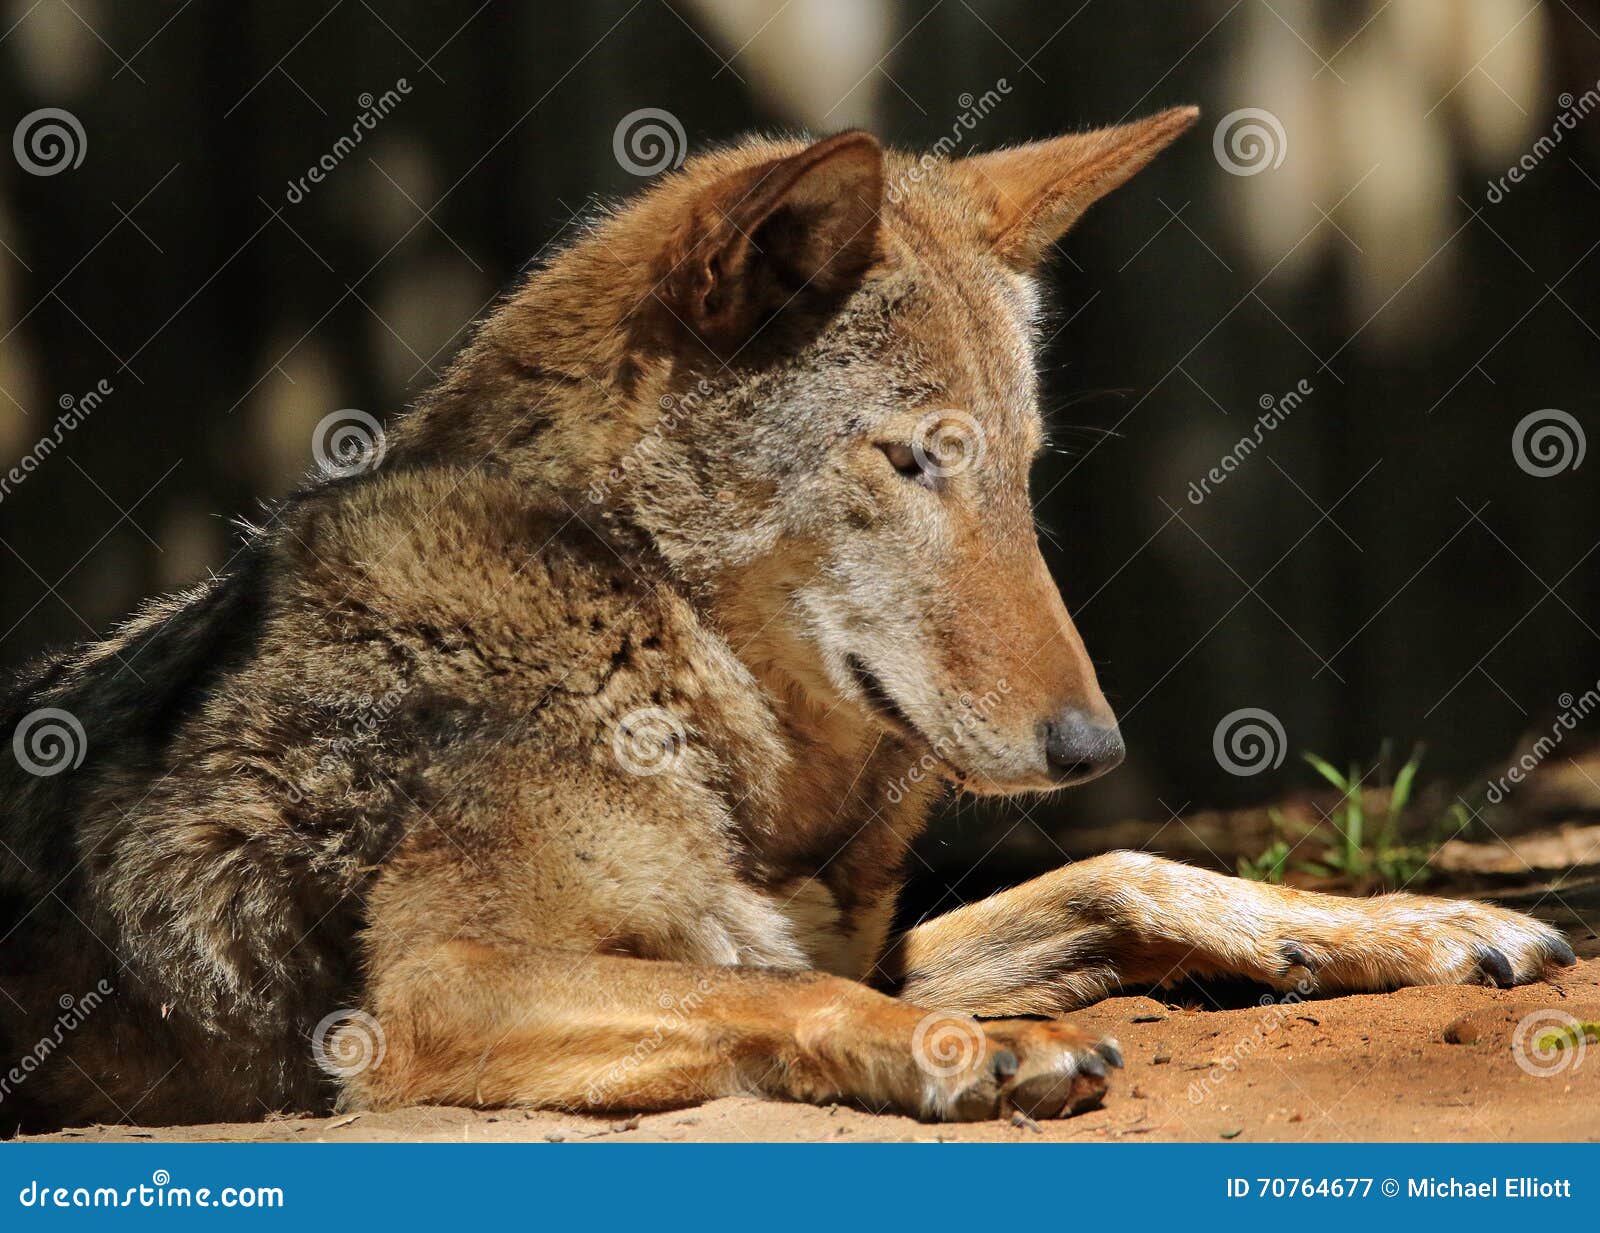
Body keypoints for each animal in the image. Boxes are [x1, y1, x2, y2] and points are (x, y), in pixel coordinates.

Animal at [0, 107, 1574, 1133]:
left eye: (1019, 466)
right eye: (913, 459)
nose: (1090, 747)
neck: (643, 634)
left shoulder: (827, 926)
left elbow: (1121, 873)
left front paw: (1401, 925)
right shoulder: (438, 995)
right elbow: (761, 1002)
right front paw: (955, 1048)